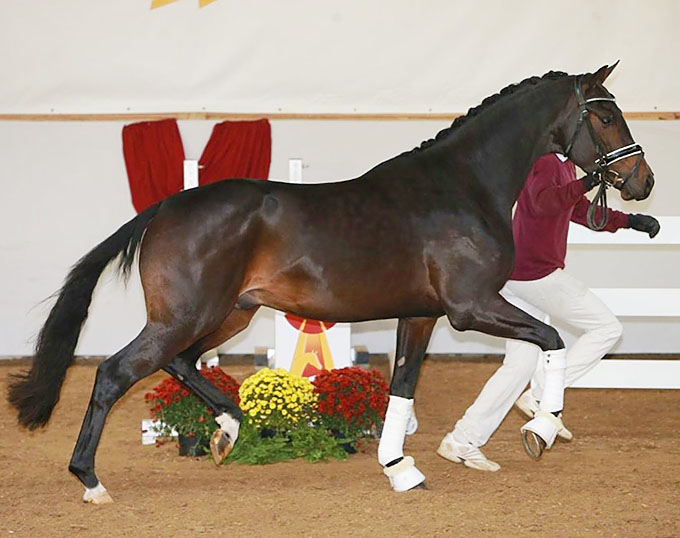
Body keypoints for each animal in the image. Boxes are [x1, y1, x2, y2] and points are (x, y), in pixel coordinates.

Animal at [9, 63, 654, 502]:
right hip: (187, 316)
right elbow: (553, 340)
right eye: (603, 114)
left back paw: (228, 429)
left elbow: (403, 387)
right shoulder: (471, 306)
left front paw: (400, 468)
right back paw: (91, 480)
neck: (461, 186)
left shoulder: (421, 314)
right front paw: (541, 428)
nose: (643, 181)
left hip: (227, 313)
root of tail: (165, 206)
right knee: (117, 372)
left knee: (182, 363)